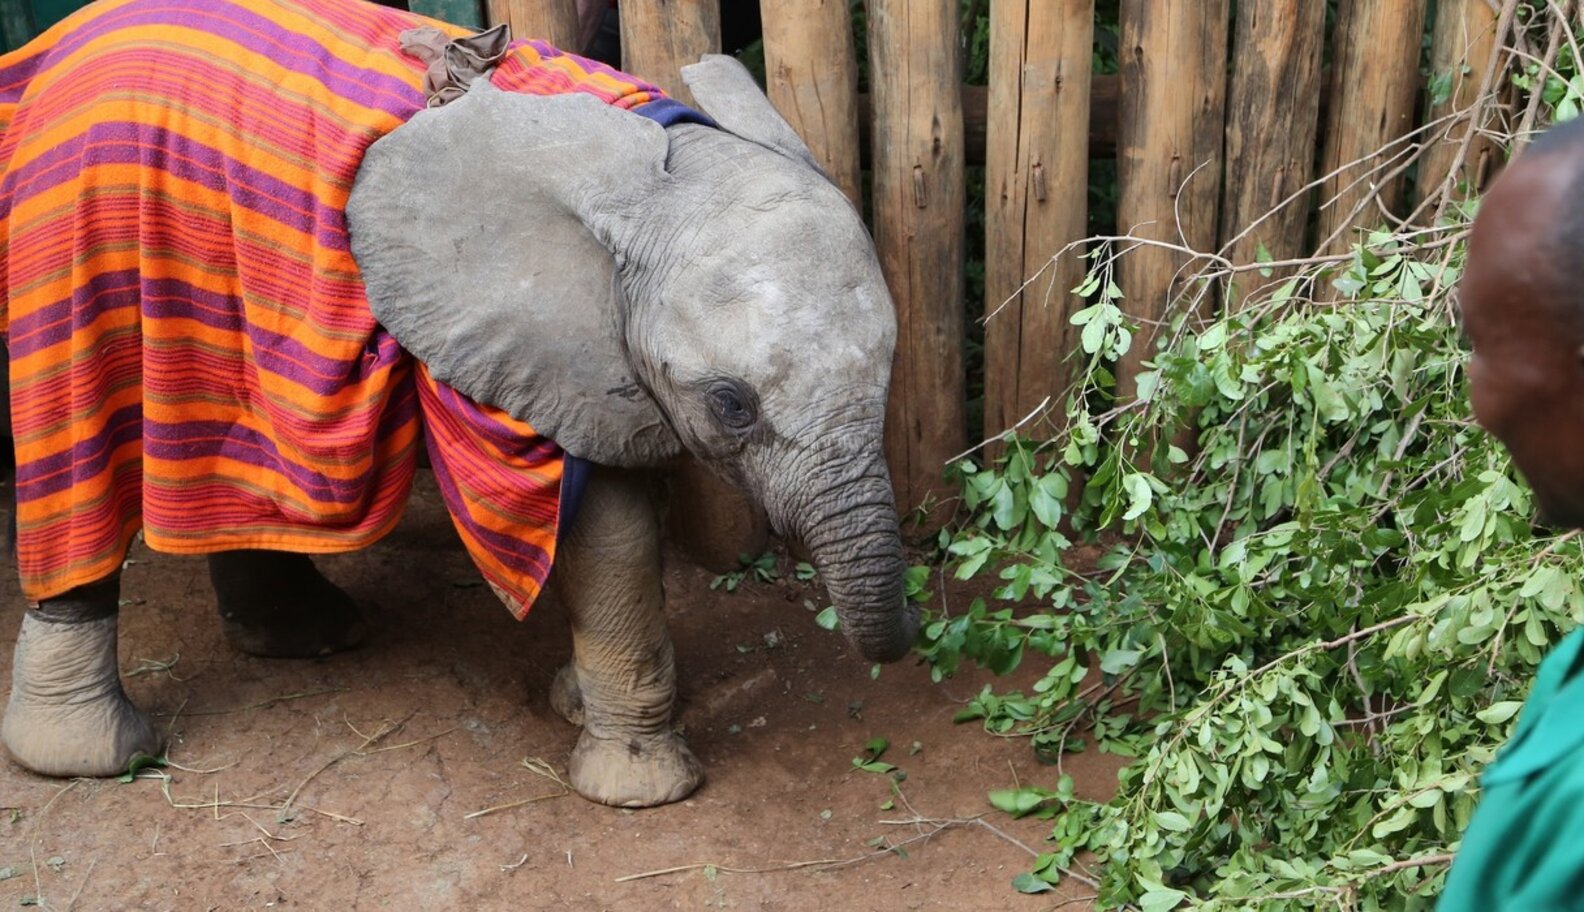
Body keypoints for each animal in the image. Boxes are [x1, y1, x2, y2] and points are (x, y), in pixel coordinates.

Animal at [0, 0, 912, 808]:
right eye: (732, 405)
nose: (895, 652)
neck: (664, 167)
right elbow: (604, 524)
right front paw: (642, 789)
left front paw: (575, 705)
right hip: (73, 255)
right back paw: (95, 759)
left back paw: (306, 639)